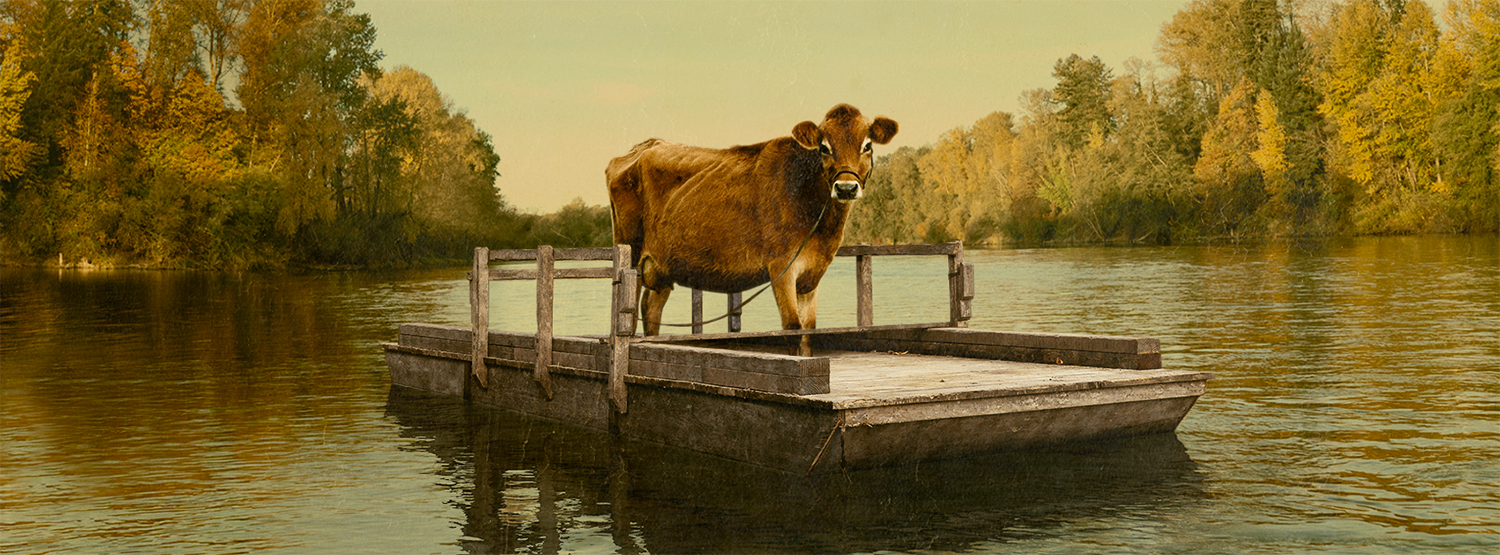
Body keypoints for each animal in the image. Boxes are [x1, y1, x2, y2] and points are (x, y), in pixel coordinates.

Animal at [606, 104, 898, 356]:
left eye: (867, 145)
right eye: (824, 147)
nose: (846, 188)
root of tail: (644, 146)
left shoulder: (812, 273)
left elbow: (808, 332)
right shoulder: (782, 266)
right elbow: (792, 328)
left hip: (662, 265)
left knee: (651, 309)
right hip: (631, 252)